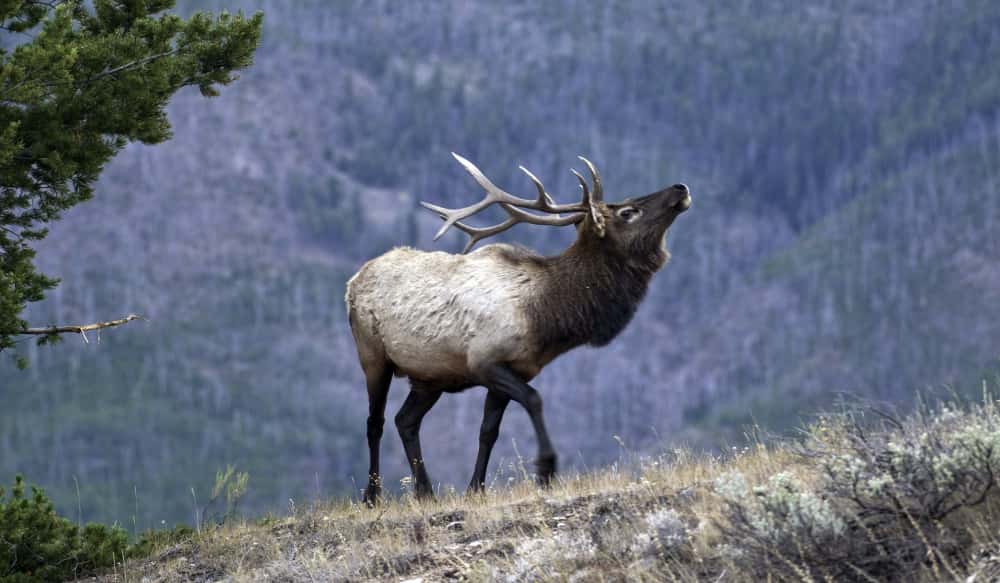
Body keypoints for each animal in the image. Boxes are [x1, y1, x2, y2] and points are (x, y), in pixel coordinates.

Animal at [346, 153, 691, 505]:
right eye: (627, 212)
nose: (680, 187)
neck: (545, 316)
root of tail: (354, 280)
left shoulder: (514, 371)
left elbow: (488, 431)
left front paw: (476, 488)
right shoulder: (485, 362)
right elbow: (534, 400)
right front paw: (546, 469)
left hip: (430, 377)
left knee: (406, 421)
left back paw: (425, 492)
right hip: (373, 355)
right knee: (375, 422)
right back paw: (372, 496)